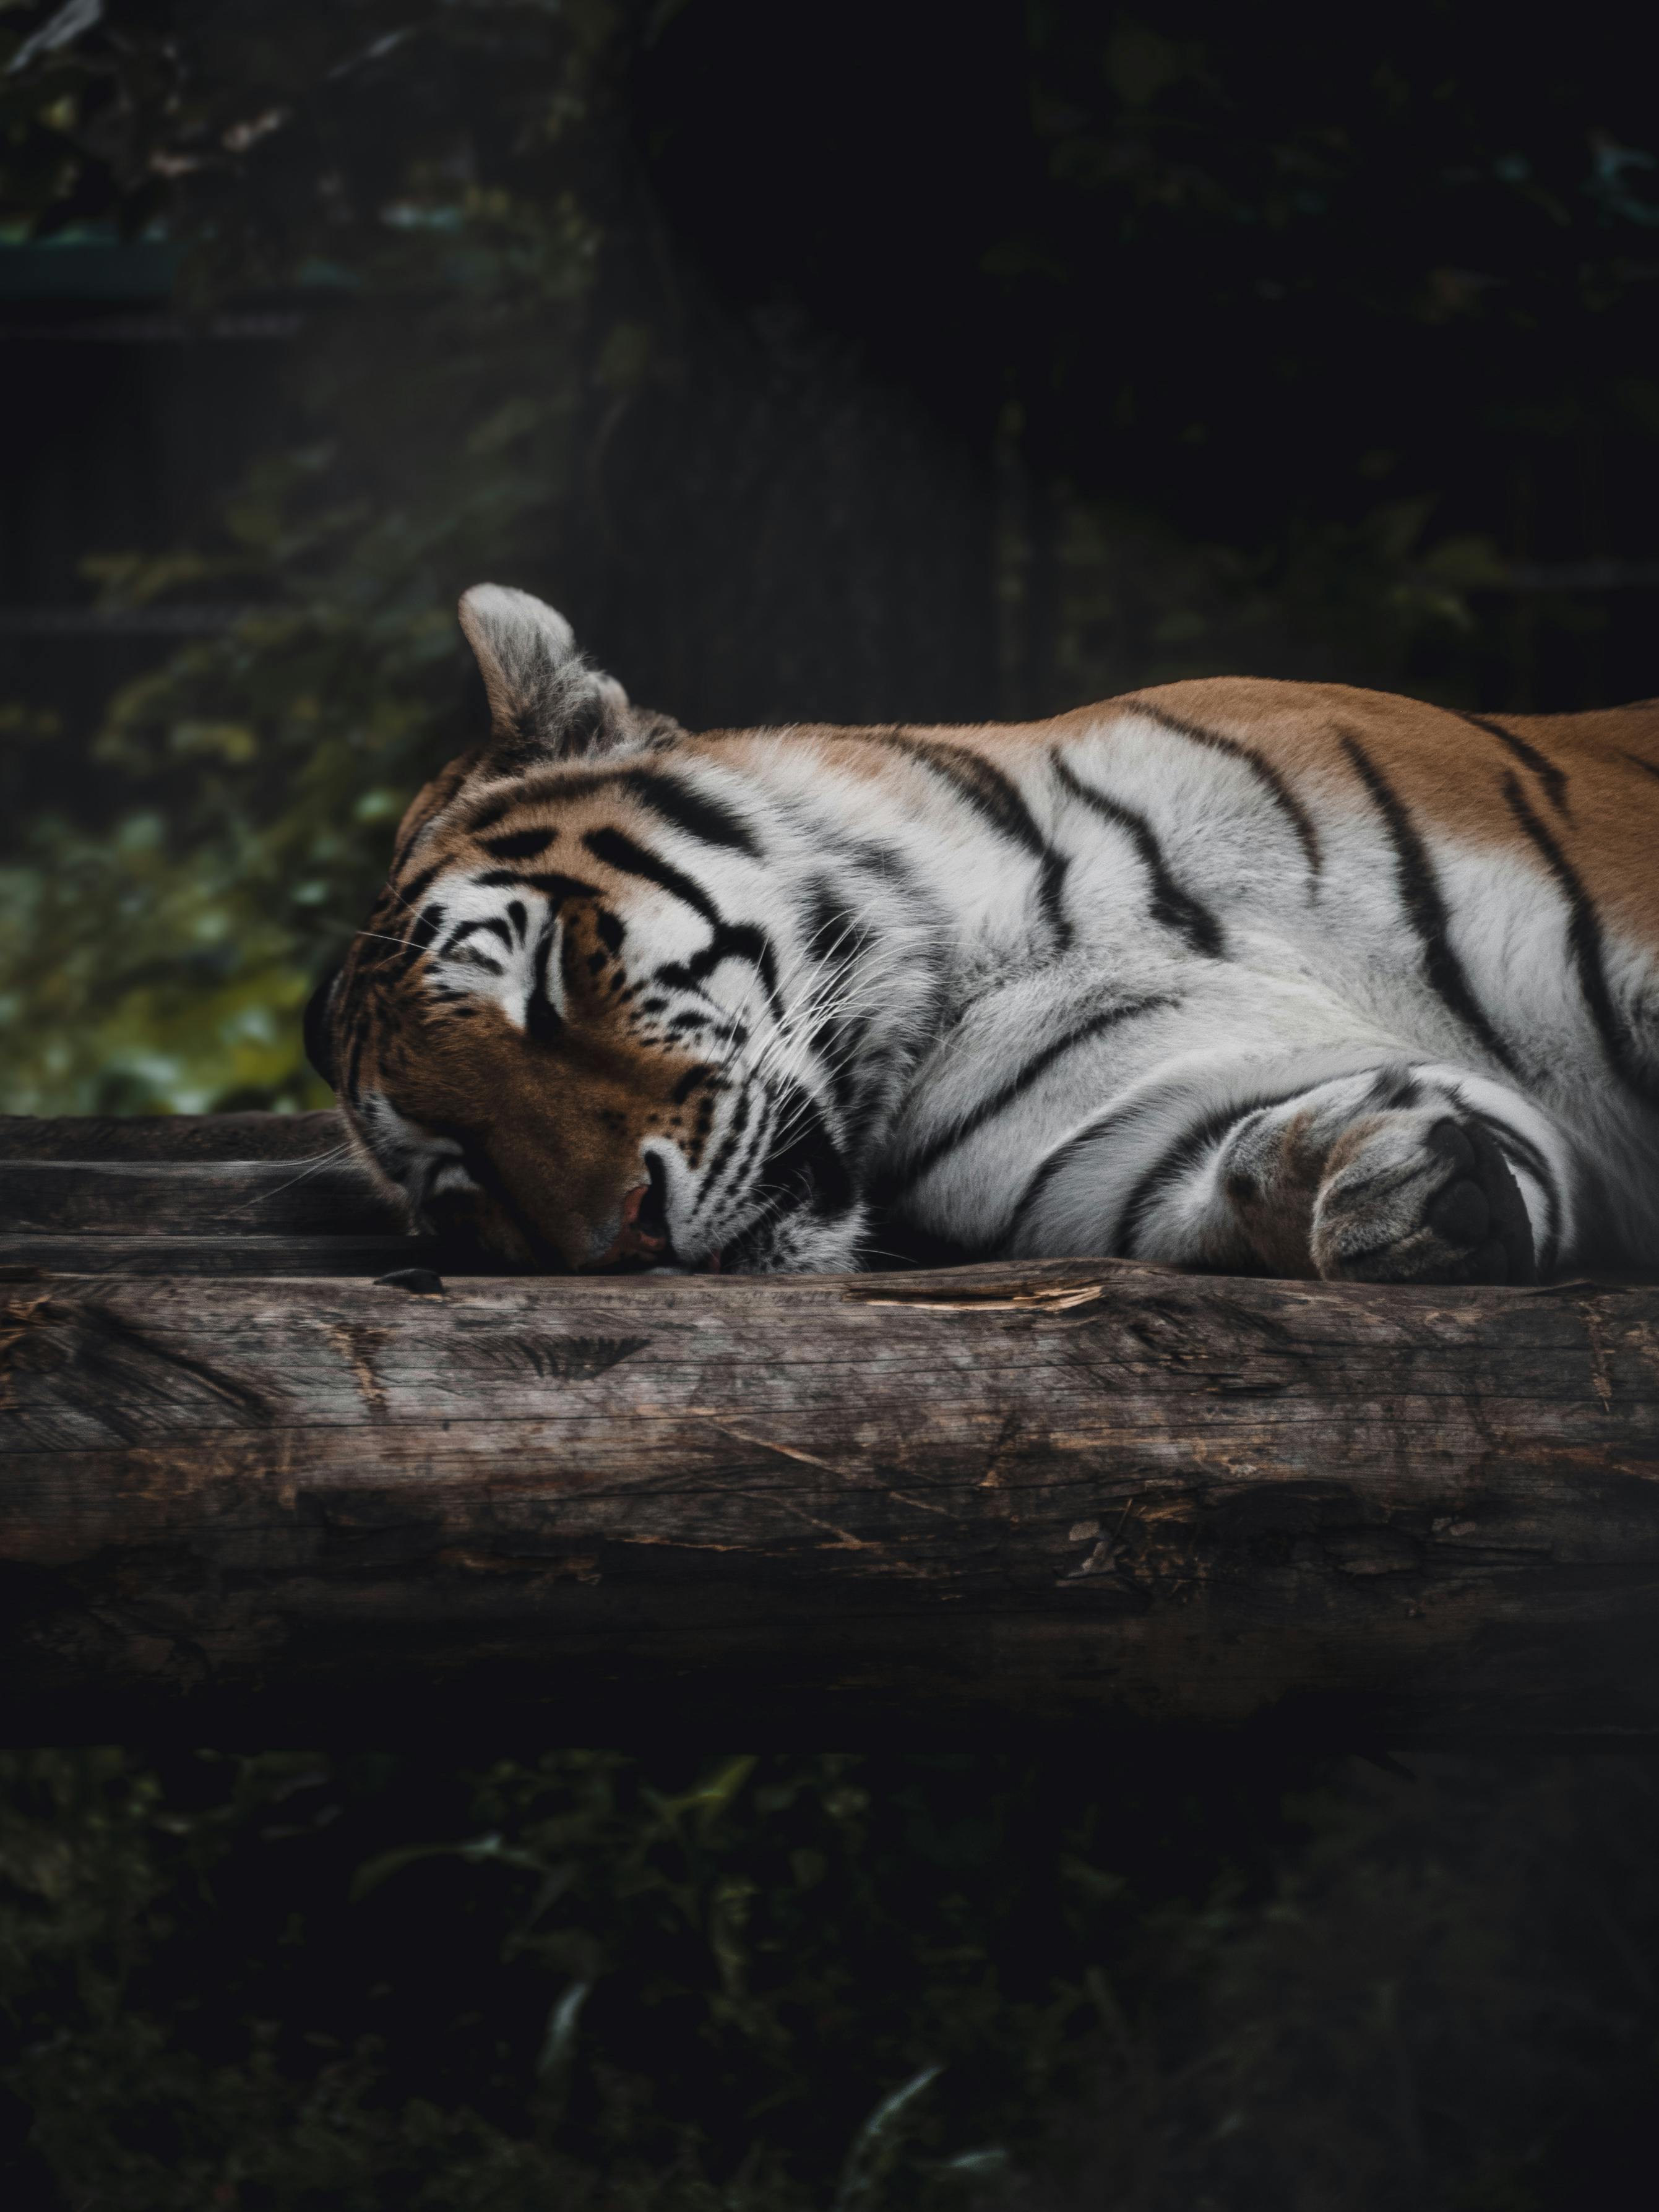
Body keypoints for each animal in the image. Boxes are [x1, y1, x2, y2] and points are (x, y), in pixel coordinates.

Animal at [305, 582, 1659, 1284]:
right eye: (459, 1175)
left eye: (542, 982)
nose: (622, 1237)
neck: (982, 951)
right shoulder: (1143, 1128)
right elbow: (1236, 1161)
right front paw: (1388, 1180)